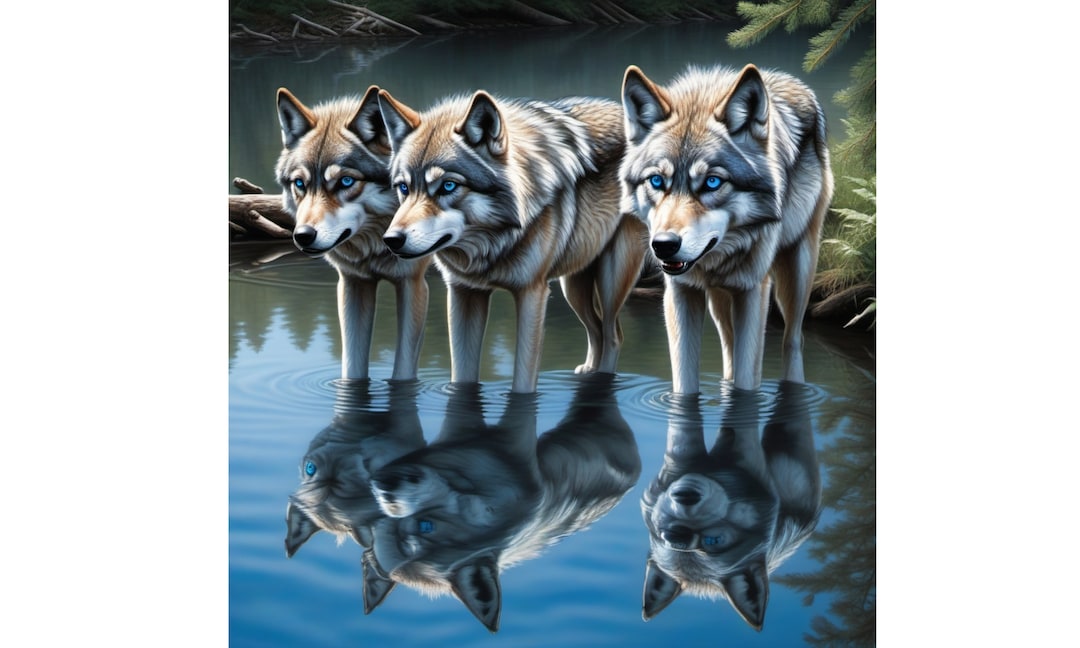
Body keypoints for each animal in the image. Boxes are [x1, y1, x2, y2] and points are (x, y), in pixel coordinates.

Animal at [275, 86, 432, 381]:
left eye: (346, 181)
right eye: (300, 183)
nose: (303, 235)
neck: (374, 247)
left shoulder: (412, 283)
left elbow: (404, 369)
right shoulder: (353, 282)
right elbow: (352, 365)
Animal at [375, 88, 648, 393]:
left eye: (447, 186)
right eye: (404, 187)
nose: (391, 239)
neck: (491, 245)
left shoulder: (532, 293)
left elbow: (523, 379)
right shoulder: (462, 291)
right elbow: (462, 374)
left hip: (612, 279)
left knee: (613, 335)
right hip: (573, 286)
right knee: (597, 330)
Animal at [620, 64, 834, 393]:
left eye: (712, 182)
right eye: (656, 181)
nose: (664, 245)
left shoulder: (753, 290)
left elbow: (748, 381)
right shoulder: (681, 292)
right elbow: (685, 381)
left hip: (797, 273)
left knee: (792, 340)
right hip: (720, 300)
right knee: (729, 349)